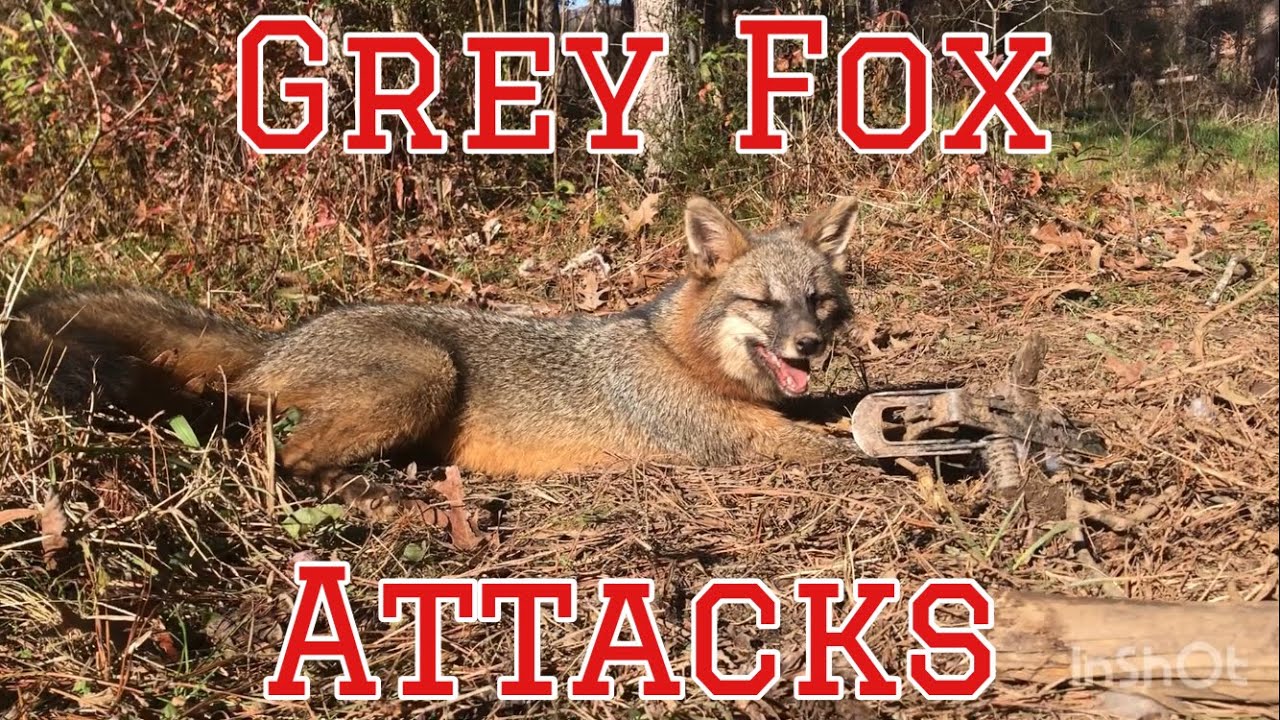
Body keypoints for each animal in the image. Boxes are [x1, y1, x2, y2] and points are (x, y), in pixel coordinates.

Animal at [2, 196, 868, 519]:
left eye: (819, 302)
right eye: (763, 303)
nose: (811, 345)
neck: (675, 349)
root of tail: (280, 338)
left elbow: (838, 414)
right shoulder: (727, 440)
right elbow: (835, 447)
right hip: (427, 374)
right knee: (279, 452)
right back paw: (385, 497)